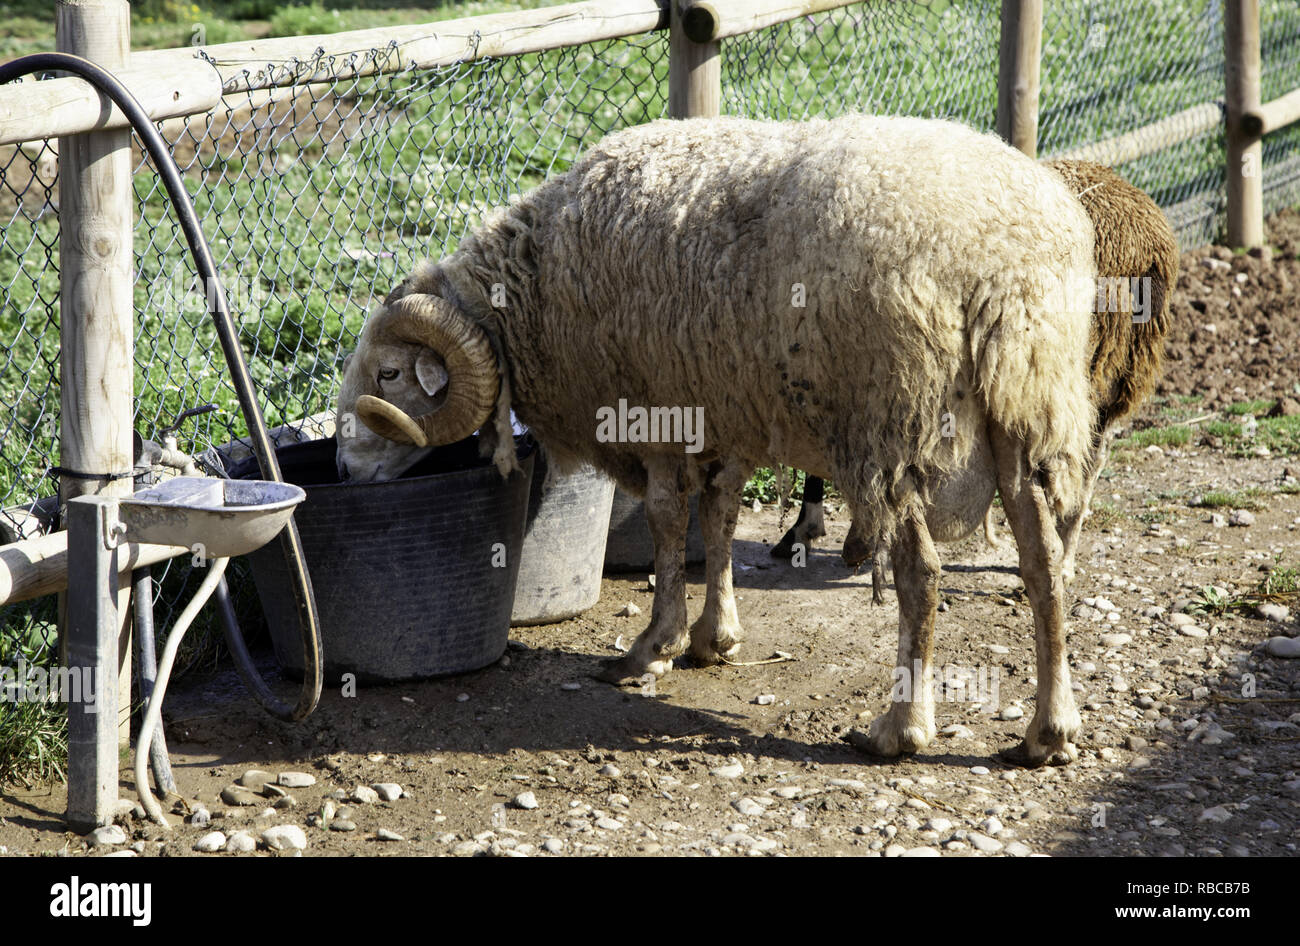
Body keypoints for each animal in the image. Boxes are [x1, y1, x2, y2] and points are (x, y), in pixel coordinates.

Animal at [335, 114, 1099, 765]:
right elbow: (721, 515)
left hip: (890, 422)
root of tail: (1002, 261)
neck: (534, 297)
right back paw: (1050, 732)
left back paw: (900, 729)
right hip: (1026, 409)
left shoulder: (653, 412)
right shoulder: (723, 409)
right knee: (1044, 567)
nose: (341, 470)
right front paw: (715, 637)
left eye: (389, 372)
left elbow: (671, 524)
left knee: (922, 573)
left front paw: (653, 646)